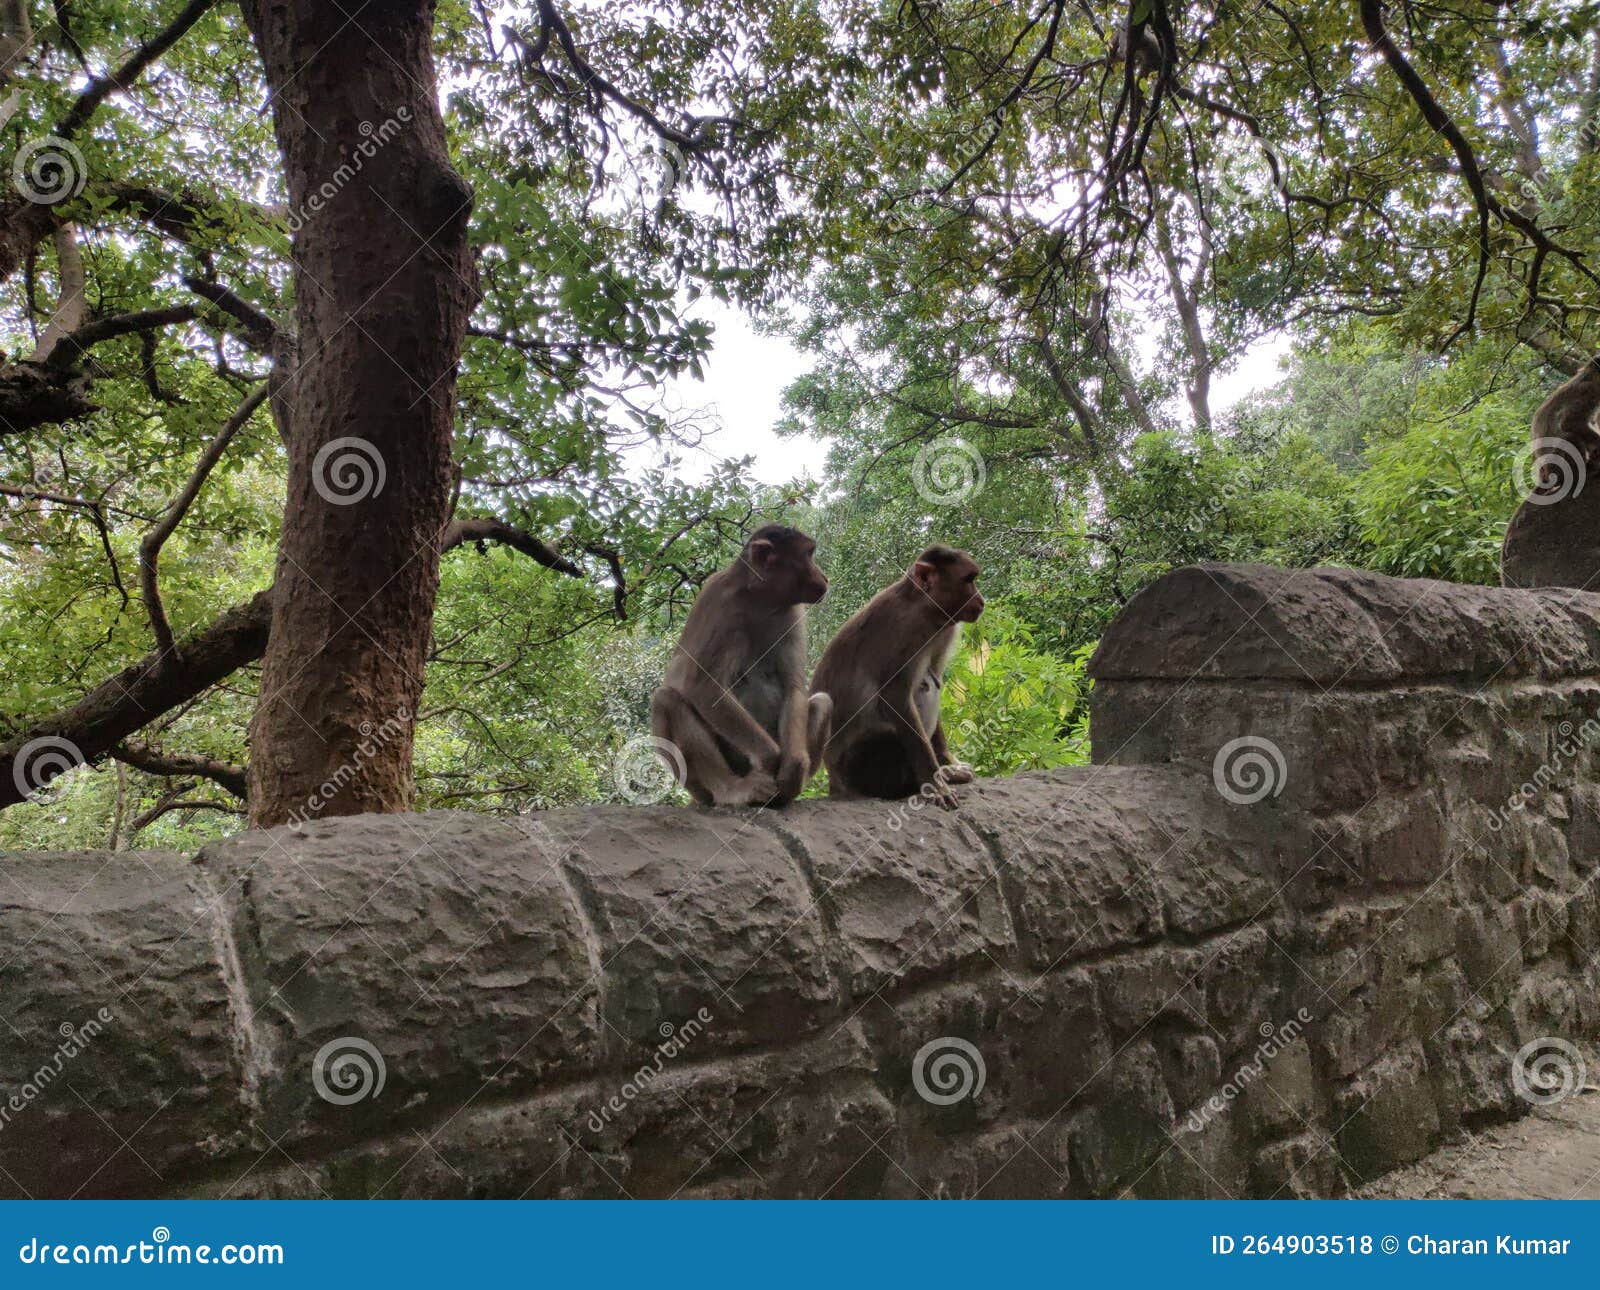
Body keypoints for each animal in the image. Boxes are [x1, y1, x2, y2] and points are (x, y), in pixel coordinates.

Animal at [651, 525, 833, 808]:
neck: (761, 599)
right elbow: (702, 685)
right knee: (666, 699)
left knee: (822, 701)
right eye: (808, 555)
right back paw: (731, 790)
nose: (824, 577)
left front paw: (794, 765)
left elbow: (793, 687)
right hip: (701, 784)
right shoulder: (718, 597)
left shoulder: (792, 612)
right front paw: (770, 757)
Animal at [810, 545, 985, 810]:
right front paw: (934, 783)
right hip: (859, 766)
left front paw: (948, 764)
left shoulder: (946, 628)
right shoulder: (903, 630)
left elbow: (936, 676)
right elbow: (895, 696)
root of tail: (834, 782)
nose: (981, 601)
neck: (925, 608)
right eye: (968, 580)